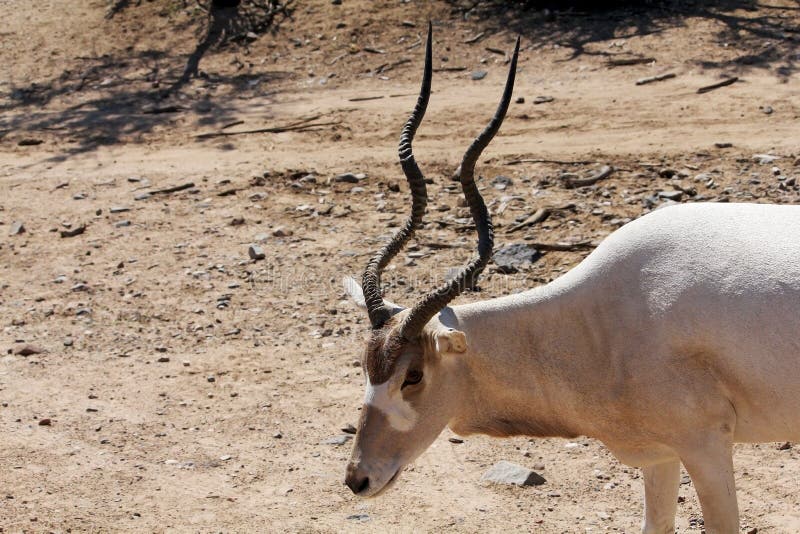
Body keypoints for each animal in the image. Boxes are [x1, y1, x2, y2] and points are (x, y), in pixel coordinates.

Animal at [342, 25, 800, 533]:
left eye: (414, 375)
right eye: (364, 365)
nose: (357, 479)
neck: (600, 323)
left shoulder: (707, 445)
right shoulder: (659, 455)